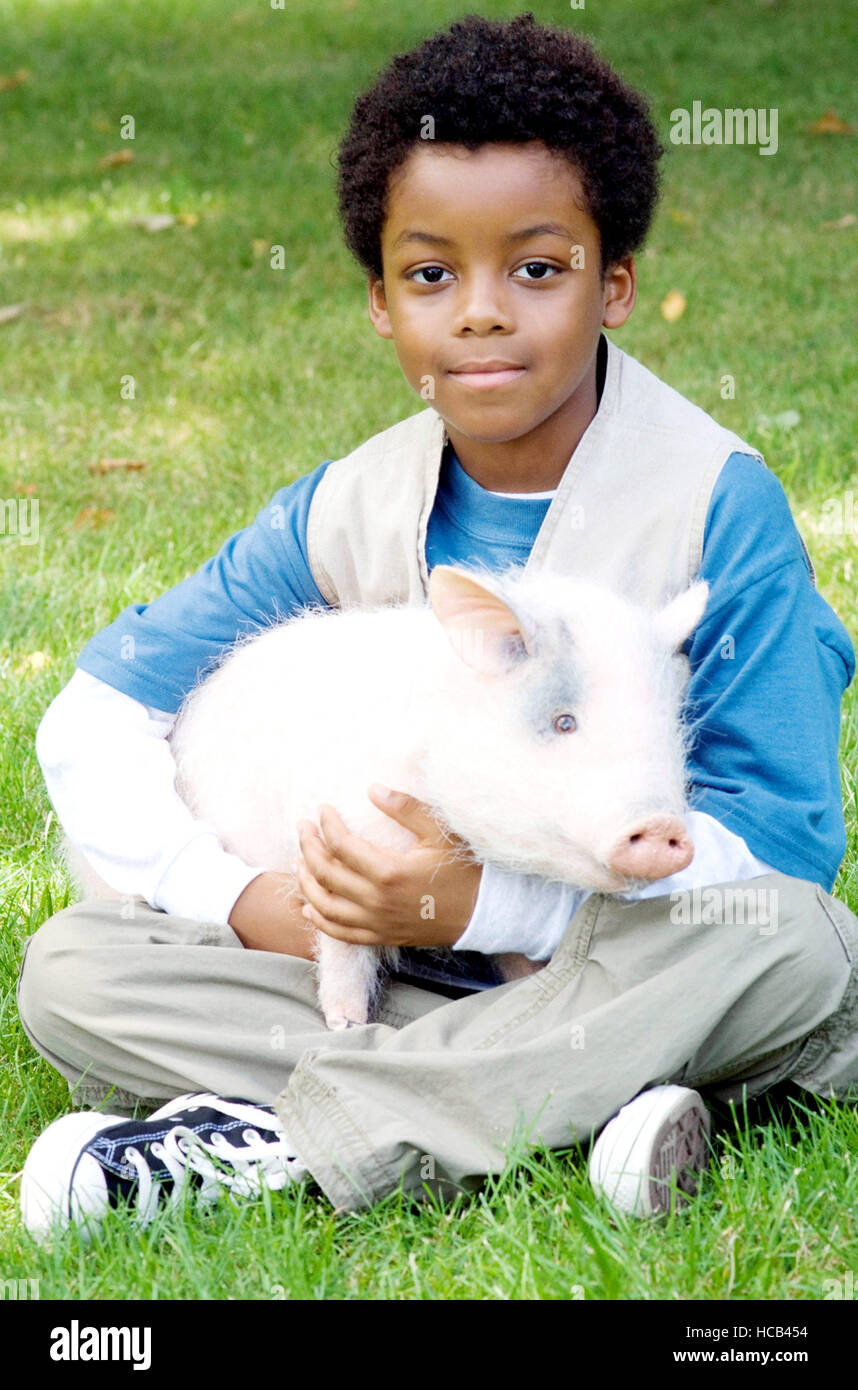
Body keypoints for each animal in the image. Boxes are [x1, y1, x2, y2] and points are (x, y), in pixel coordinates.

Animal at [158, 564, 709, 1029]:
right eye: (564, 722)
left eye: (670, 728)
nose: (664, 827)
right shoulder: (333, 841)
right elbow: (343, 948)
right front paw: (345, 1026)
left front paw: (528, 987)